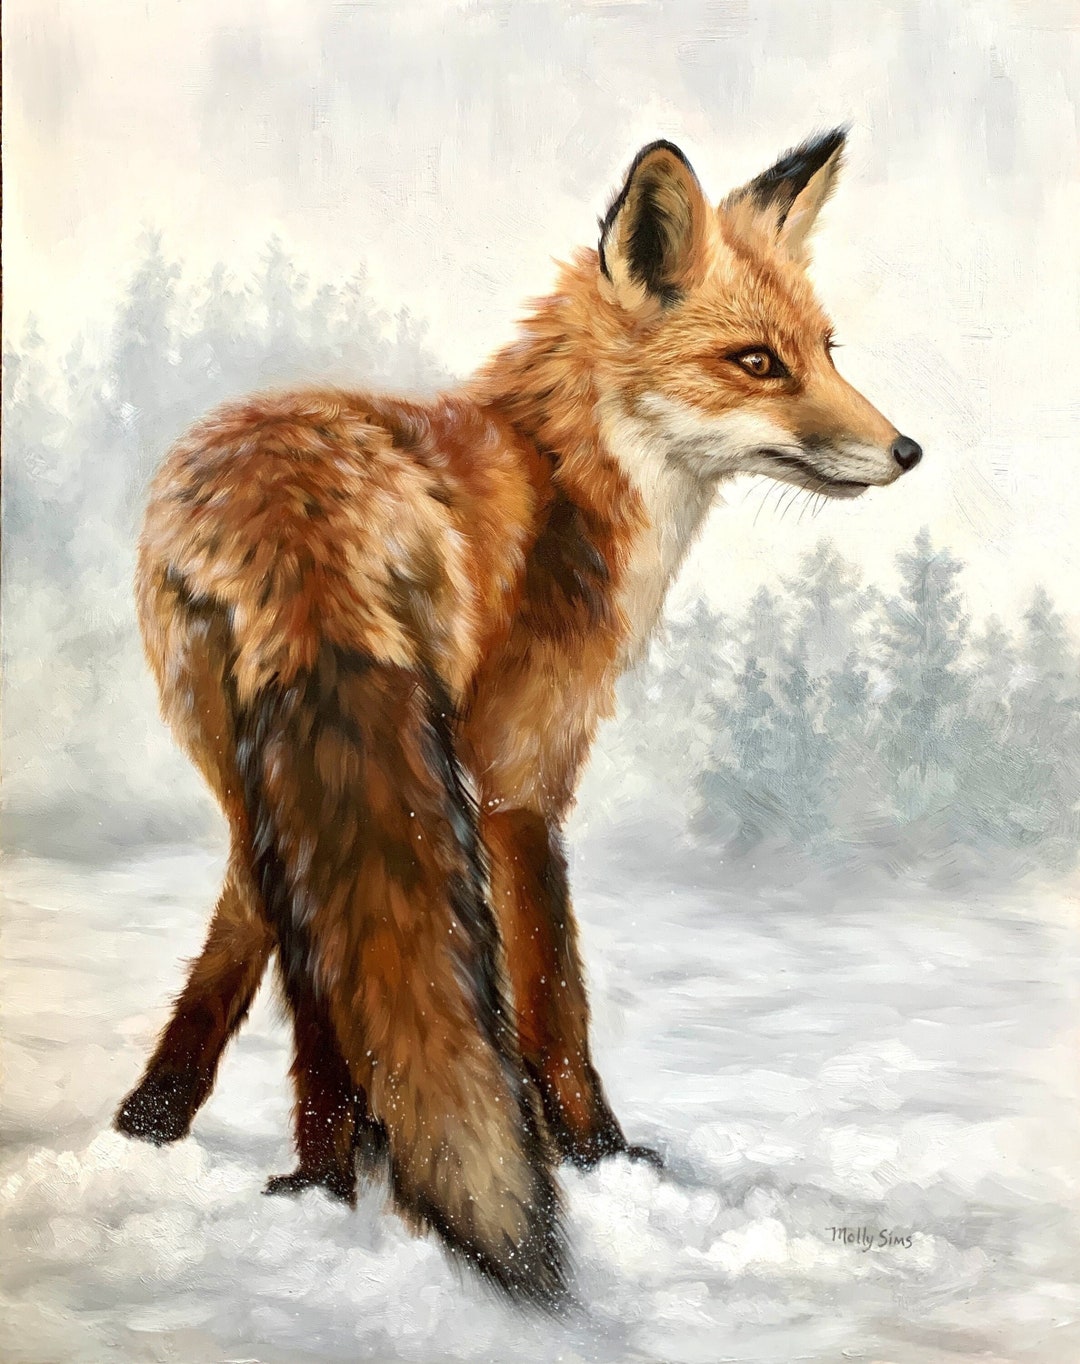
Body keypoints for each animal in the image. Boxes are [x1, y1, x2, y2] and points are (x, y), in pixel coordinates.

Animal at [115, 128, 921, 1305]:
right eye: (757, 363)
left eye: (825, 350)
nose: (907, 450)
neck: (572, 477)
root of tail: (290, 505)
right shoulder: (518, 780)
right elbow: (552, 994)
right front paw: (596, 1156)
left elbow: (275, 955)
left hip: (248, 764)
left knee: (280, 932)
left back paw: (262, 1162)